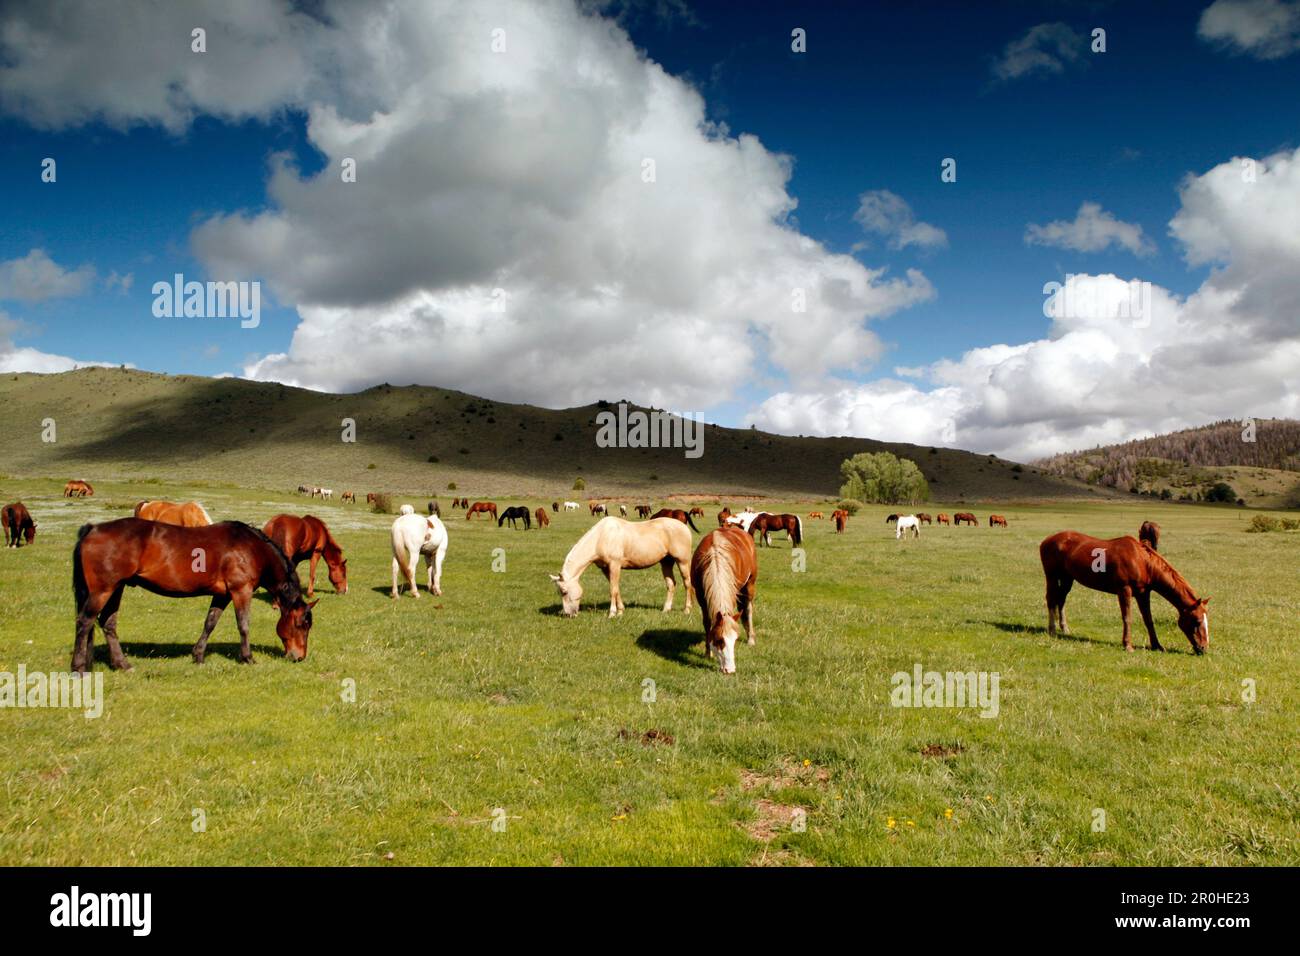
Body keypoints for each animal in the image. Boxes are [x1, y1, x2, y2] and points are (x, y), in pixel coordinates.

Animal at [71, 518, 316, 672]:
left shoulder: (223, 595)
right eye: (302, 624)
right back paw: (78, 667)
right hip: (103, 590)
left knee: (107, 623)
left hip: (117, 587)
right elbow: (244, 625)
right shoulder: (241, 591)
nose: (299, 657)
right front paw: (247, 658)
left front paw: (198, 655)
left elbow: (210, 623)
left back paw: (122, 664)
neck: (253, 549)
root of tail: (92, 529)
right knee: (85, 622)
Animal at [550, 517, 694, 618]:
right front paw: (620, 611)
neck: (601, 537)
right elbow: (616, 589)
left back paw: (687, 609)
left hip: (683, 562)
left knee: (687, 584)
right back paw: (666, 609)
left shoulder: (615, 565)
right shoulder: (605, 569)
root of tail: (684, 527)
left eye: (564, 592)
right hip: (666, 563)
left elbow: (612, 590)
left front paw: (612, 613)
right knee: (671, 584)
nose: (568, 614)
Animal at [690, 527, 758, 674]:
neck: (714, 557)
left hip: (749, 585)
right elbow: (707, 623)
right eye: (719, 640)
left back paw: (751, 639)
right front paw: (707, 653)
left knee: (748, 610)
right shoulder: (701, 598)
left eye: (735, 639)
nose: (730, 670)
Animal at [1039, 531, 1209, 654]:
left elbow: (1148, 620)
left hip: (1067, 578)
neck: (1142, 561)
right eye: (1197, 621)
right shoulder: (1124, 590)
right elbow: (1127, 618)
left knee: (1061, 600)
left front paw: (1157, 645)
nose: (1204, 648)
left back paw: (1064, 628)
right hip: (1052, 576)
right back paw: (1052, 630)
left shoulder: (1143, 594)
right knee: (1051, 599)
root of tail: (1048, 540)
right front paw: (1128, 645)